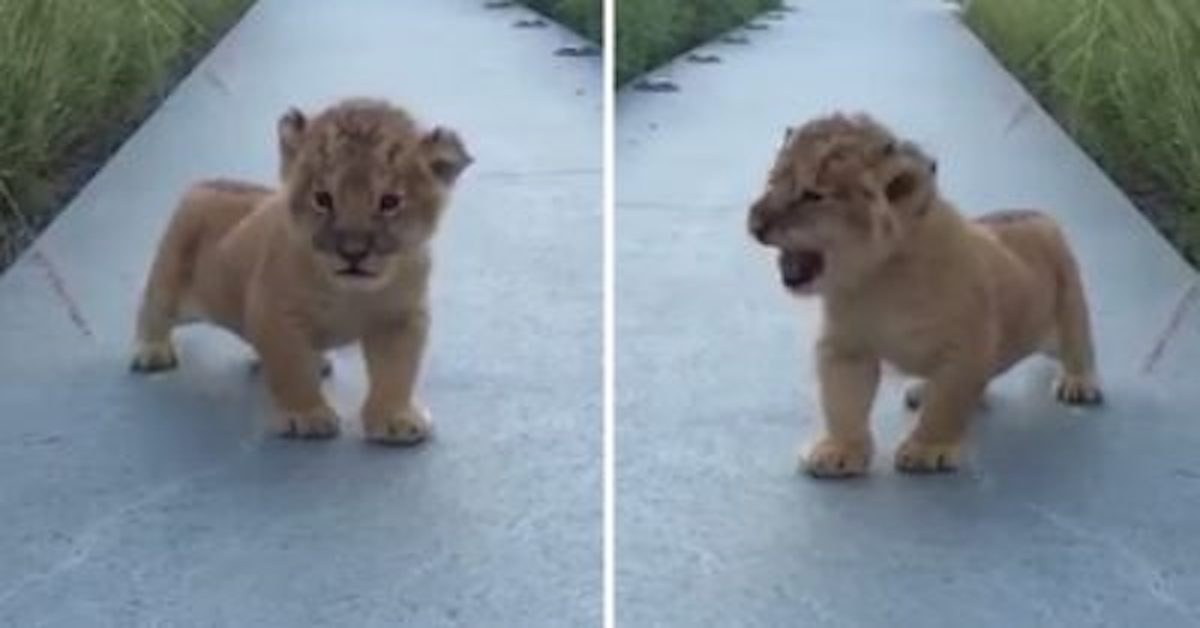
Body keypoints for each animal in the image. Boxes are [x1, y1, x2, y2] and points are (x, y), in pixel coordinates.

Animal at [131, 98, 472, 444]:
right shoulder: (276, 314)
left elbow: (397, 372)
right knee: (152, 309)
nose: (353, 253)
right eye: (322, 199)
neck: (351, 293)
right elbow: (292, 368)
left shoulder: (401, 318)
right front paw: (307, 417)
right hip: (172, 276)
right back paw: (152, 351)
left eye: (389, 202)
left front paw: (396, 419)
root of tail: (209, 183)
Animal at [747, 113, 1102, 477]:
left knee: (1079, 346)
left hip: (1067, 306)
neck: (877, 279)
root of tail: (1034, 212)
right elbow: (842, 402)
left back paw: (1078, 384)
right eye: (772, 181)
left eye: (813, 195)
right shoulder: (846, 346)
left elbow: (946, 405)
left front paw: (926, 451)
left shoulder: (966, 347)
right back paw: (924, 389)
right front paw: (838, 451)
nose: (755, 224)